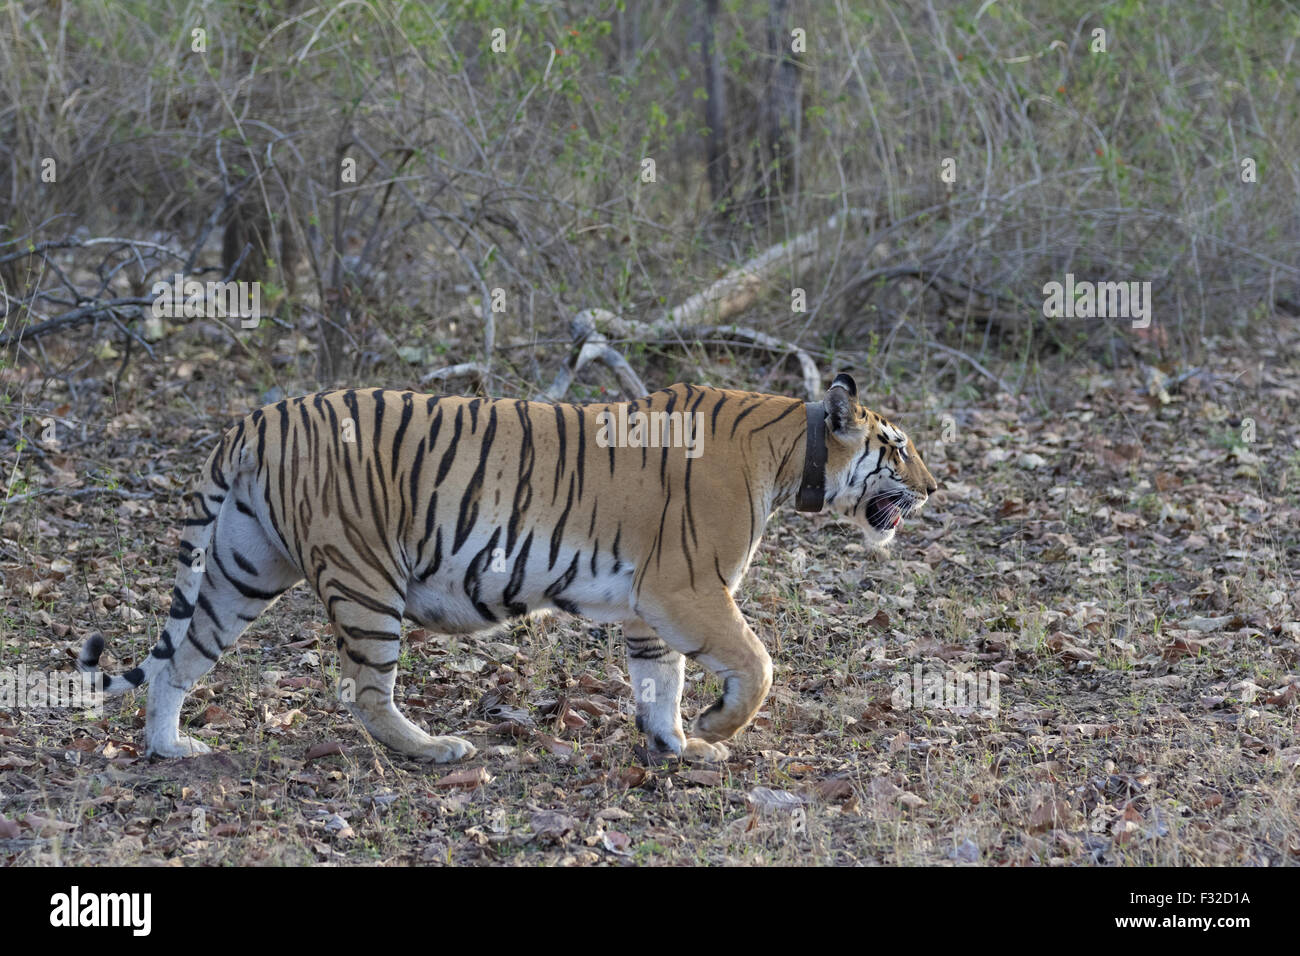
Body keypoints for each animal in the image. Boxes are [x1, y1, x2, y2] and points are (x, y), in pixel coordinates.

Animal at [77, 372, 937, 764]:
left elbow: (660, 683)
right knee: (366, 692)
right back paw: (434, 749)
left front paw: (675, 745)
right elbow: (757, 665)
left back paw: (170, 749)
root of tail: (257, 418)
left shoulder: (648, 609)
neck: (792, 454)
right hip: (364, 579)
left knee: (177, 660)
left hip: (242, 567)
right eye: (897, 448)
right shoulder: (687, 590)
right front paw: (716, 729)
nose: (935, 487)